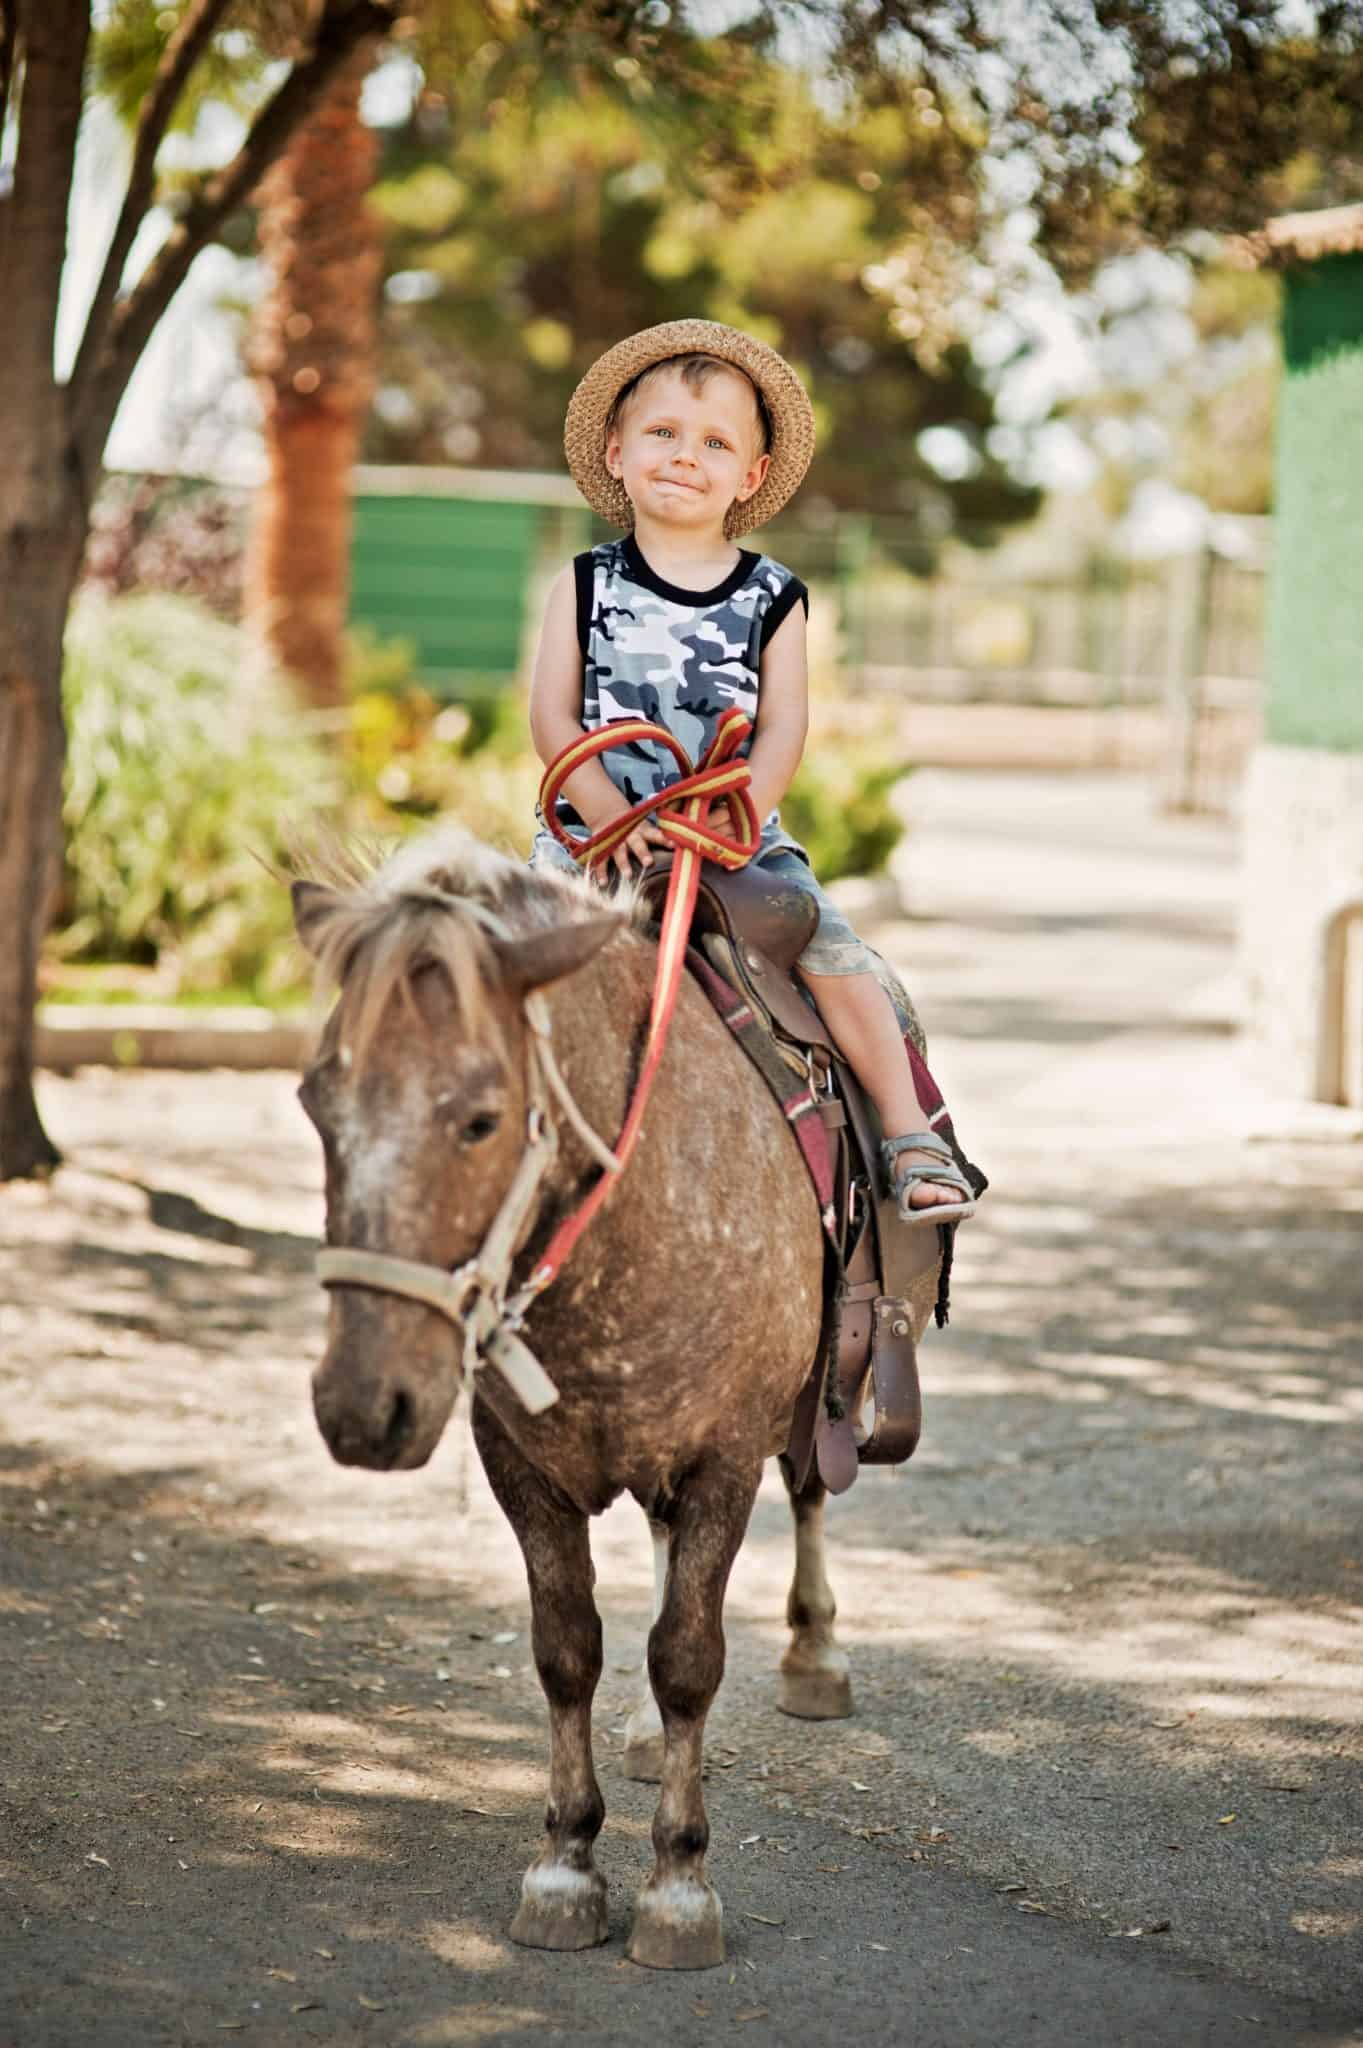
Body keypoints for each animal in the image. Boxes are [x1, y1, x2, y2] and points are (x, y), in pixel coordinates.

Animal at [291, 827, 861, 1971]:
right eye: (314, 1107)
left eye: (480, 1119)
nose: (362, 1405)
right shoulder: (520, 1466)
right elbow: (567, 1649)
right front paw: (563, 1862)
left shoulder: (724, 1455)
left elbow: (688, 1655)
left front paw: (678, 1885)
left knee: (807, 1493)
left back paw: (814, 1651)